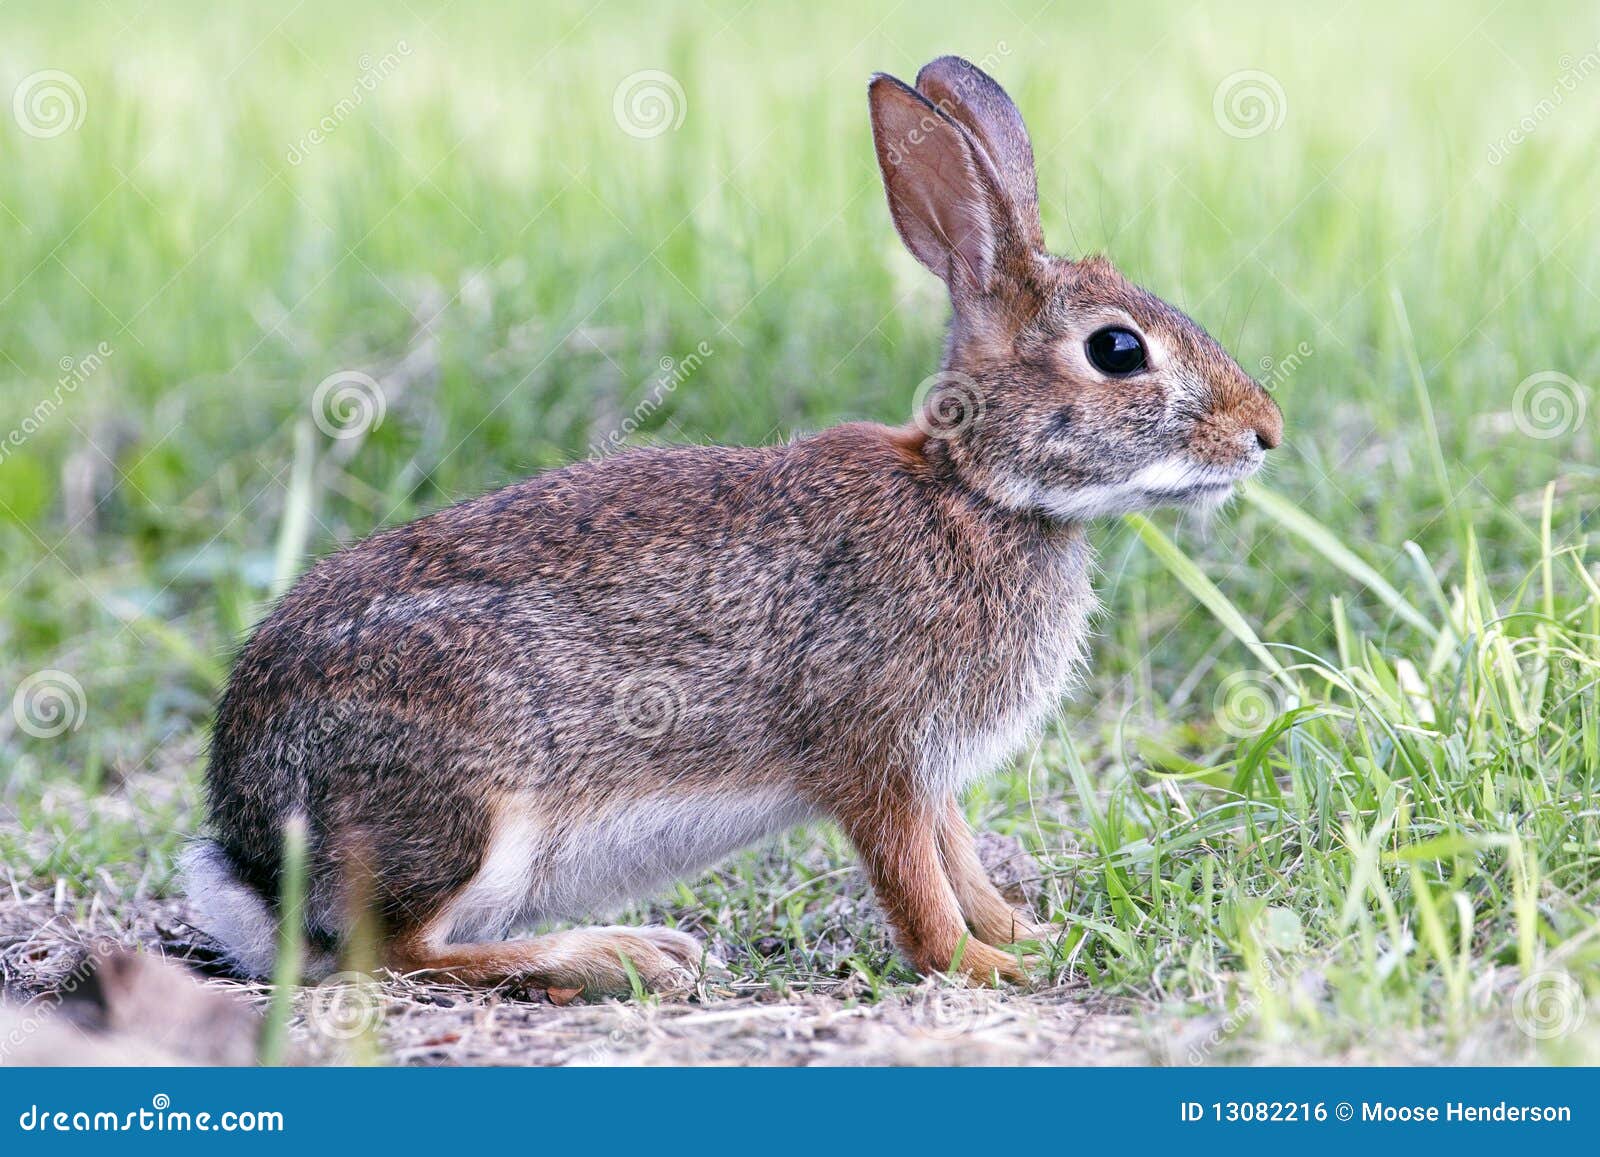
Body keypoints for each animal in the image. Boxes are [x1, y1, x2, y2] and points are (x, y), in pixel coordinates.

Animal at [183, 55, 1282, 996]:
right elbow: (914, 886)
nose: (1263, 431)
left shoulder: (931, 774)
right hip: (468, 800)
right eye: (1116, 350)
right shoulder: (874, 753)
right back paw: (623, 956)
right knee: (398, 952)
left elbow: (959, 858)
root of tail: (250, 857)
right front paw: (987, 967)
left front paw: (1029, 933)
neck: (974, 491)